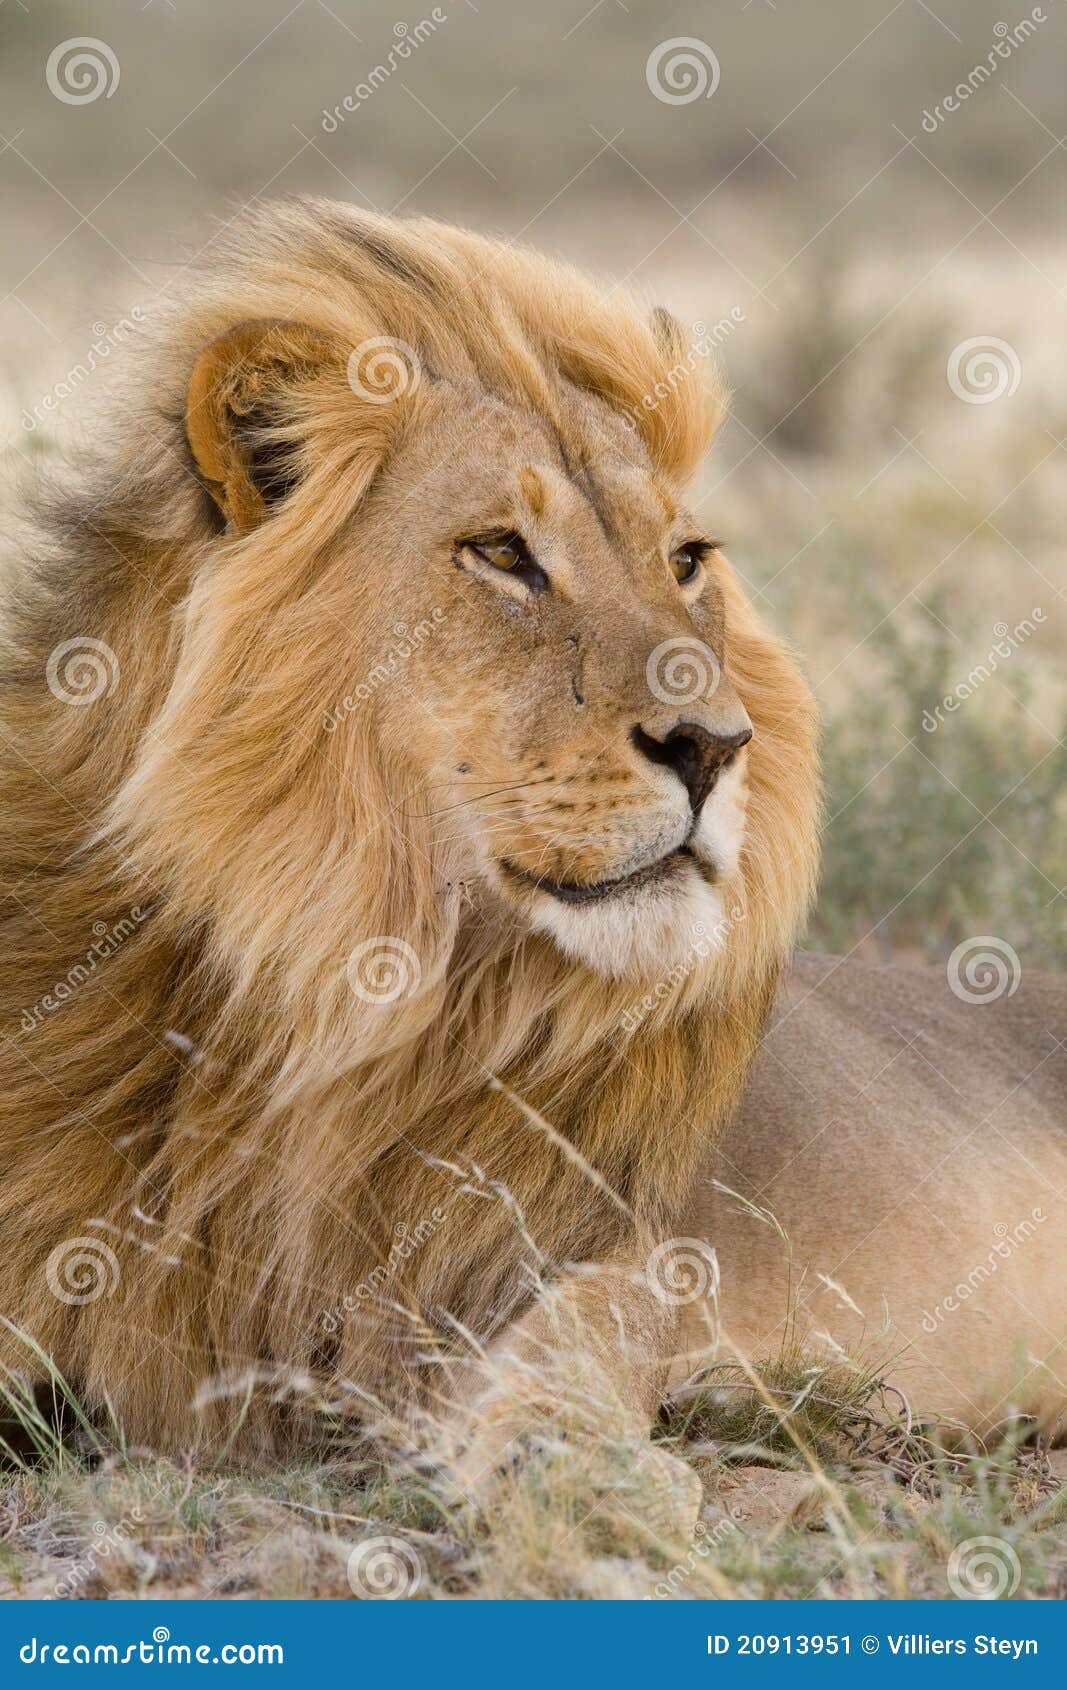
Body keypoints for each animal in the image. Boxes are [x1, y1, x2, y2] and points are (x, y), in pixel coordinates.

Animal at [0, 199, 1061, 1472]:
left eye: (683, 561)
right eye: (501, 553)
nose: (716, 745)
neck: (326, 989)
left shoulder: (581, 1249)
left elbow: (570, 1361)